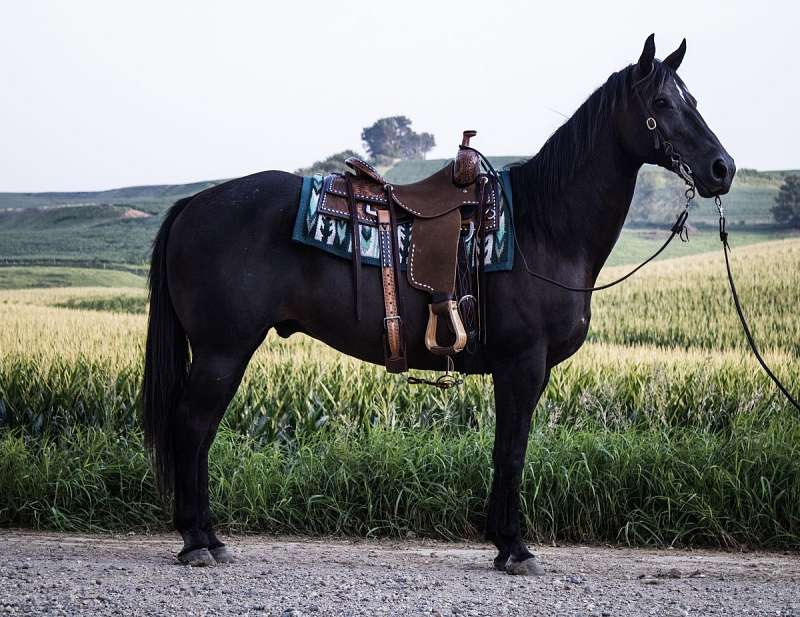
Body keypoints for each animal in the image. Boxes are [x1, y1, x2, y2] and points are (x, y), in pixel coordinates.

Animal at [142, 34, 735, 572]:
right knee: (192, 427)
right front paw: (514, 548)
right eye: (662, 103)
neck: (542, 227)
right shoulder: (523, 365)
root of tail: (194, 203)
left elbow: (506, 449)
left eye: (694, 100)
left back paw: (209, 538)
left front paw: (501, 541)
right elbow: (512, 450)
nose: (722, 168)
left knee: (198, 431)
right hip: (223, 351)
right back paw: (197, 541)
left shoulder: (524, 369)